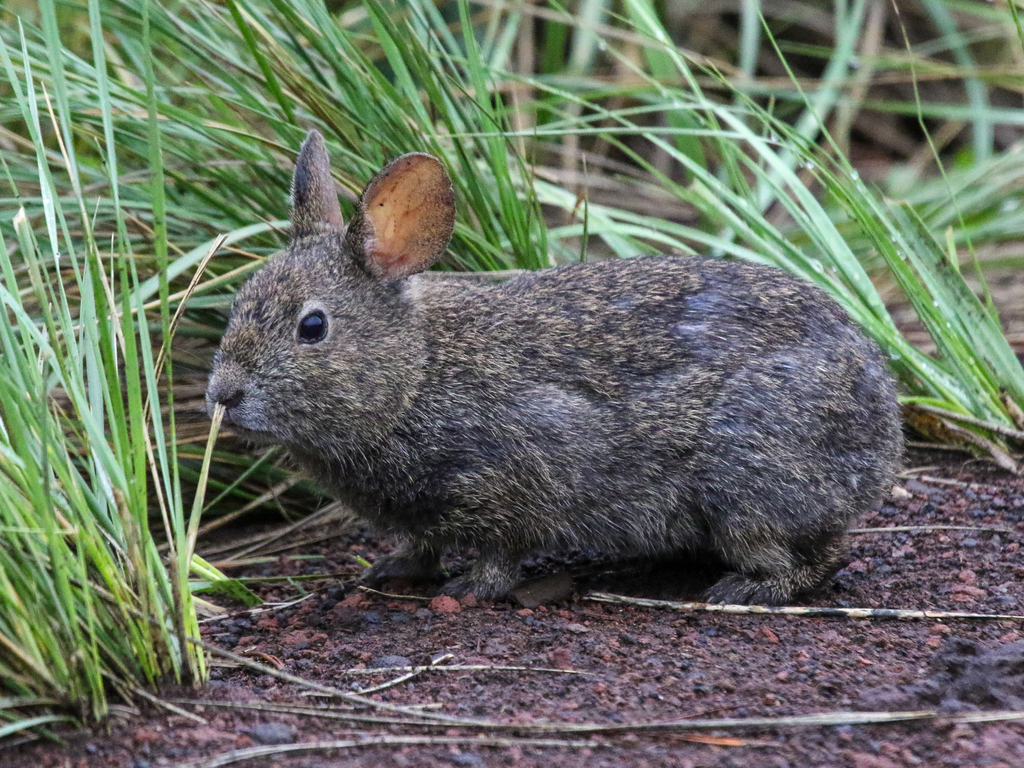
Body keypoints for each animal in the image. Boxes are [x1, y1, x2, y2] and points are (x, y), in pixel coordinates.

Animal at [206, 129, 903, 605]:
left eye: (312, 328)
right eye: (238, 304)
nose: (223, 394)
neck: (415, 373)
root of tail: (882, 432)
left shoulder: (516, 470)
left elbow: (502, 547)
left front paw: (468, 587)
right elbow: (420, 543)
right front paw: (392, 570)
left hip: (746, 477)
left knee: (815, 554)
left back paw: (745, 590)